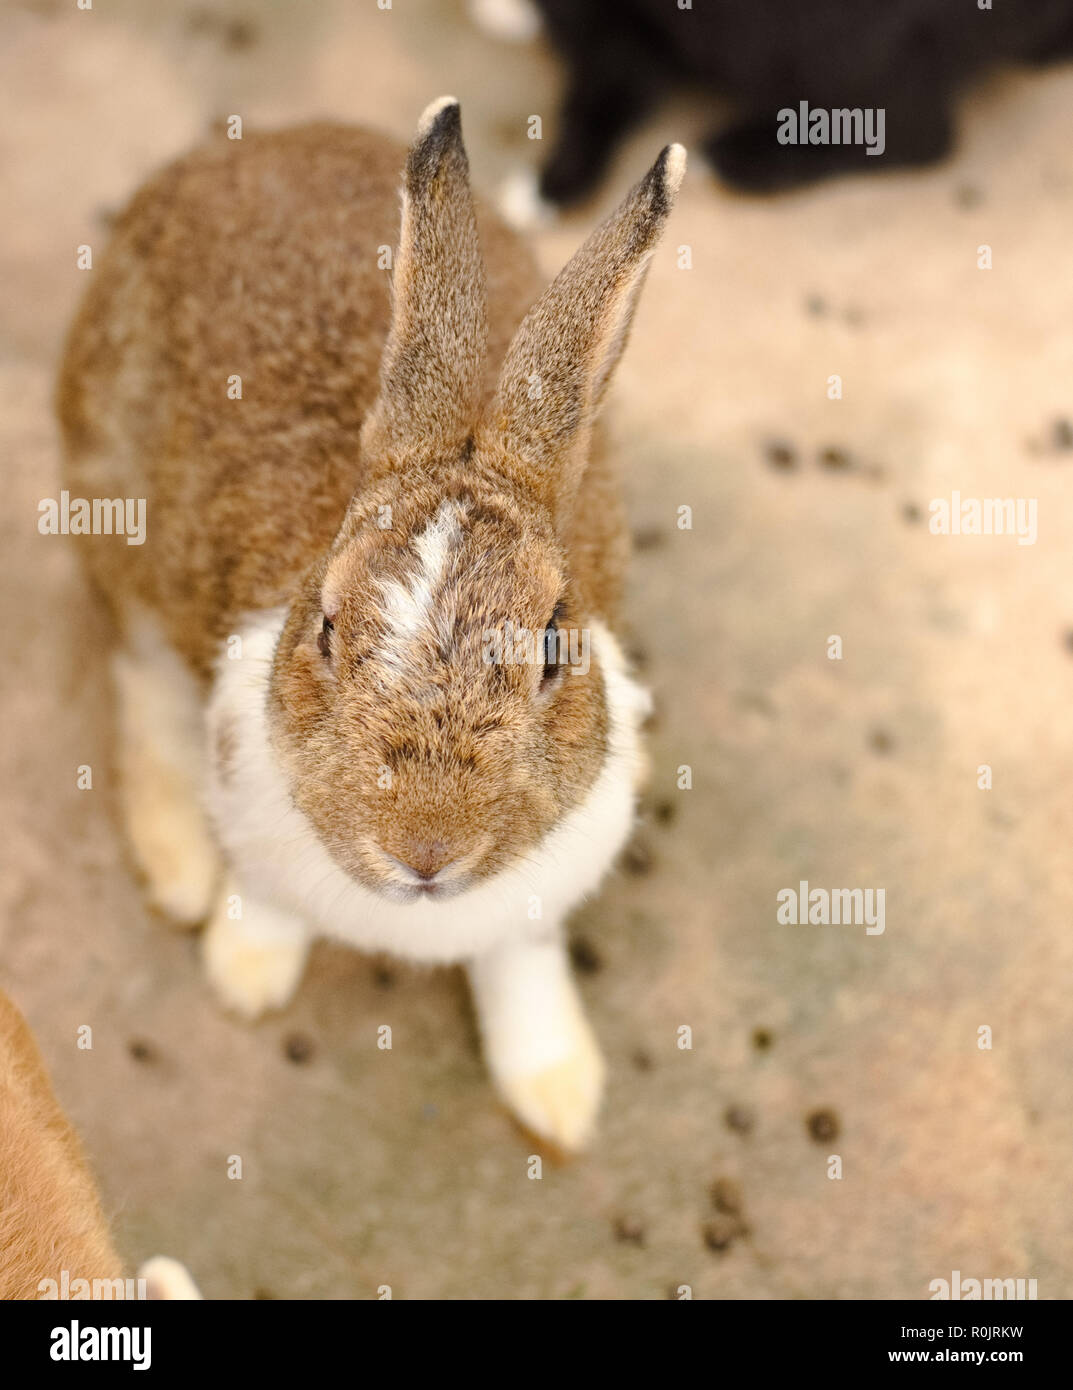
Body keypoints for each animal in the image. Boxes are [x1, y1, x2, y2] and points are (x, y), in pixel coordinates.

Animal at [56, 98, 685, 1151]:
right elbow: (264, 905)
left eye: (553, 649)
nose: (423, 849)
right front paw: (245, 977)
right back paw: (179, 872)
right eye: (325, 629)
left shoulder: (532, 912)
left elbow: (524, 970)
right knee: (141, 687)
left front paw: (559, 1097)